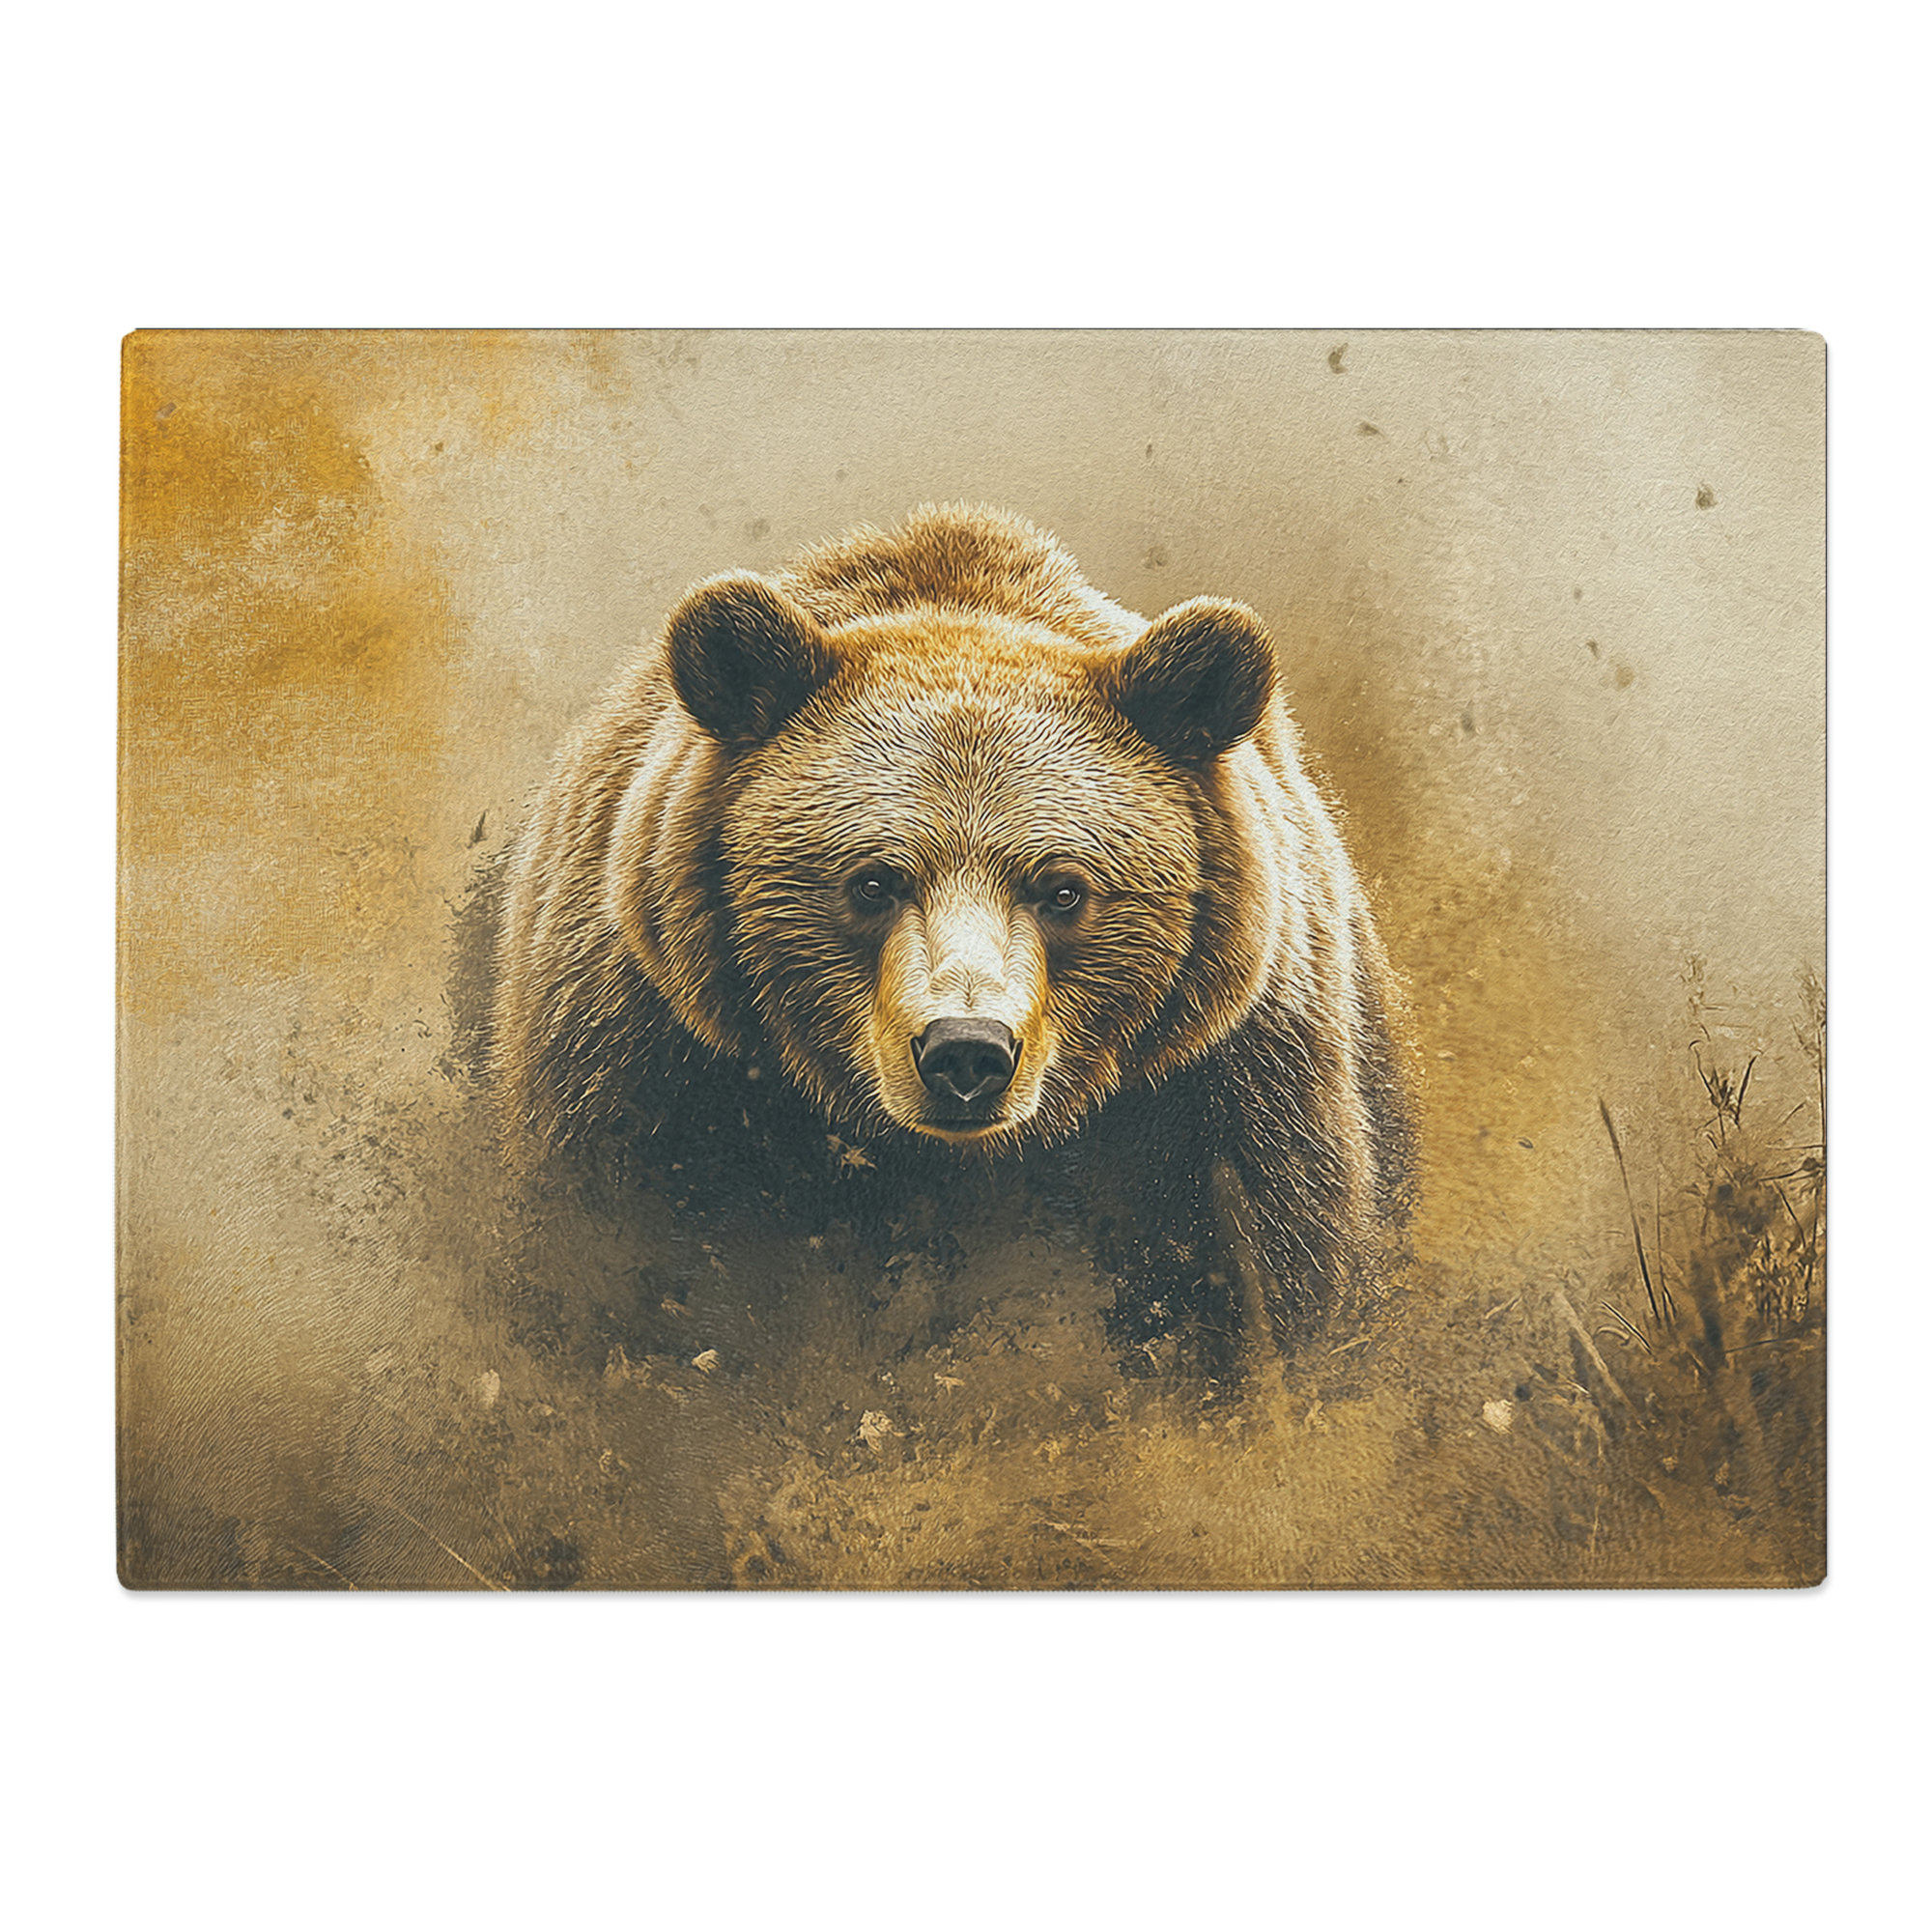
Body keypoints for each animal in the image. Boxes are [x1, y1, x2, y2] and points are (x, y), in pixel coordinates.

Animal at [491, 504, 1412, 1376]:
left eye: (1063, 889)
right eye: (873, 881)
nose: (966, 1051)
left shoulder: (1228, 1089)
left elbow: (1273, 1278)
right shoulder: (649, 1068)